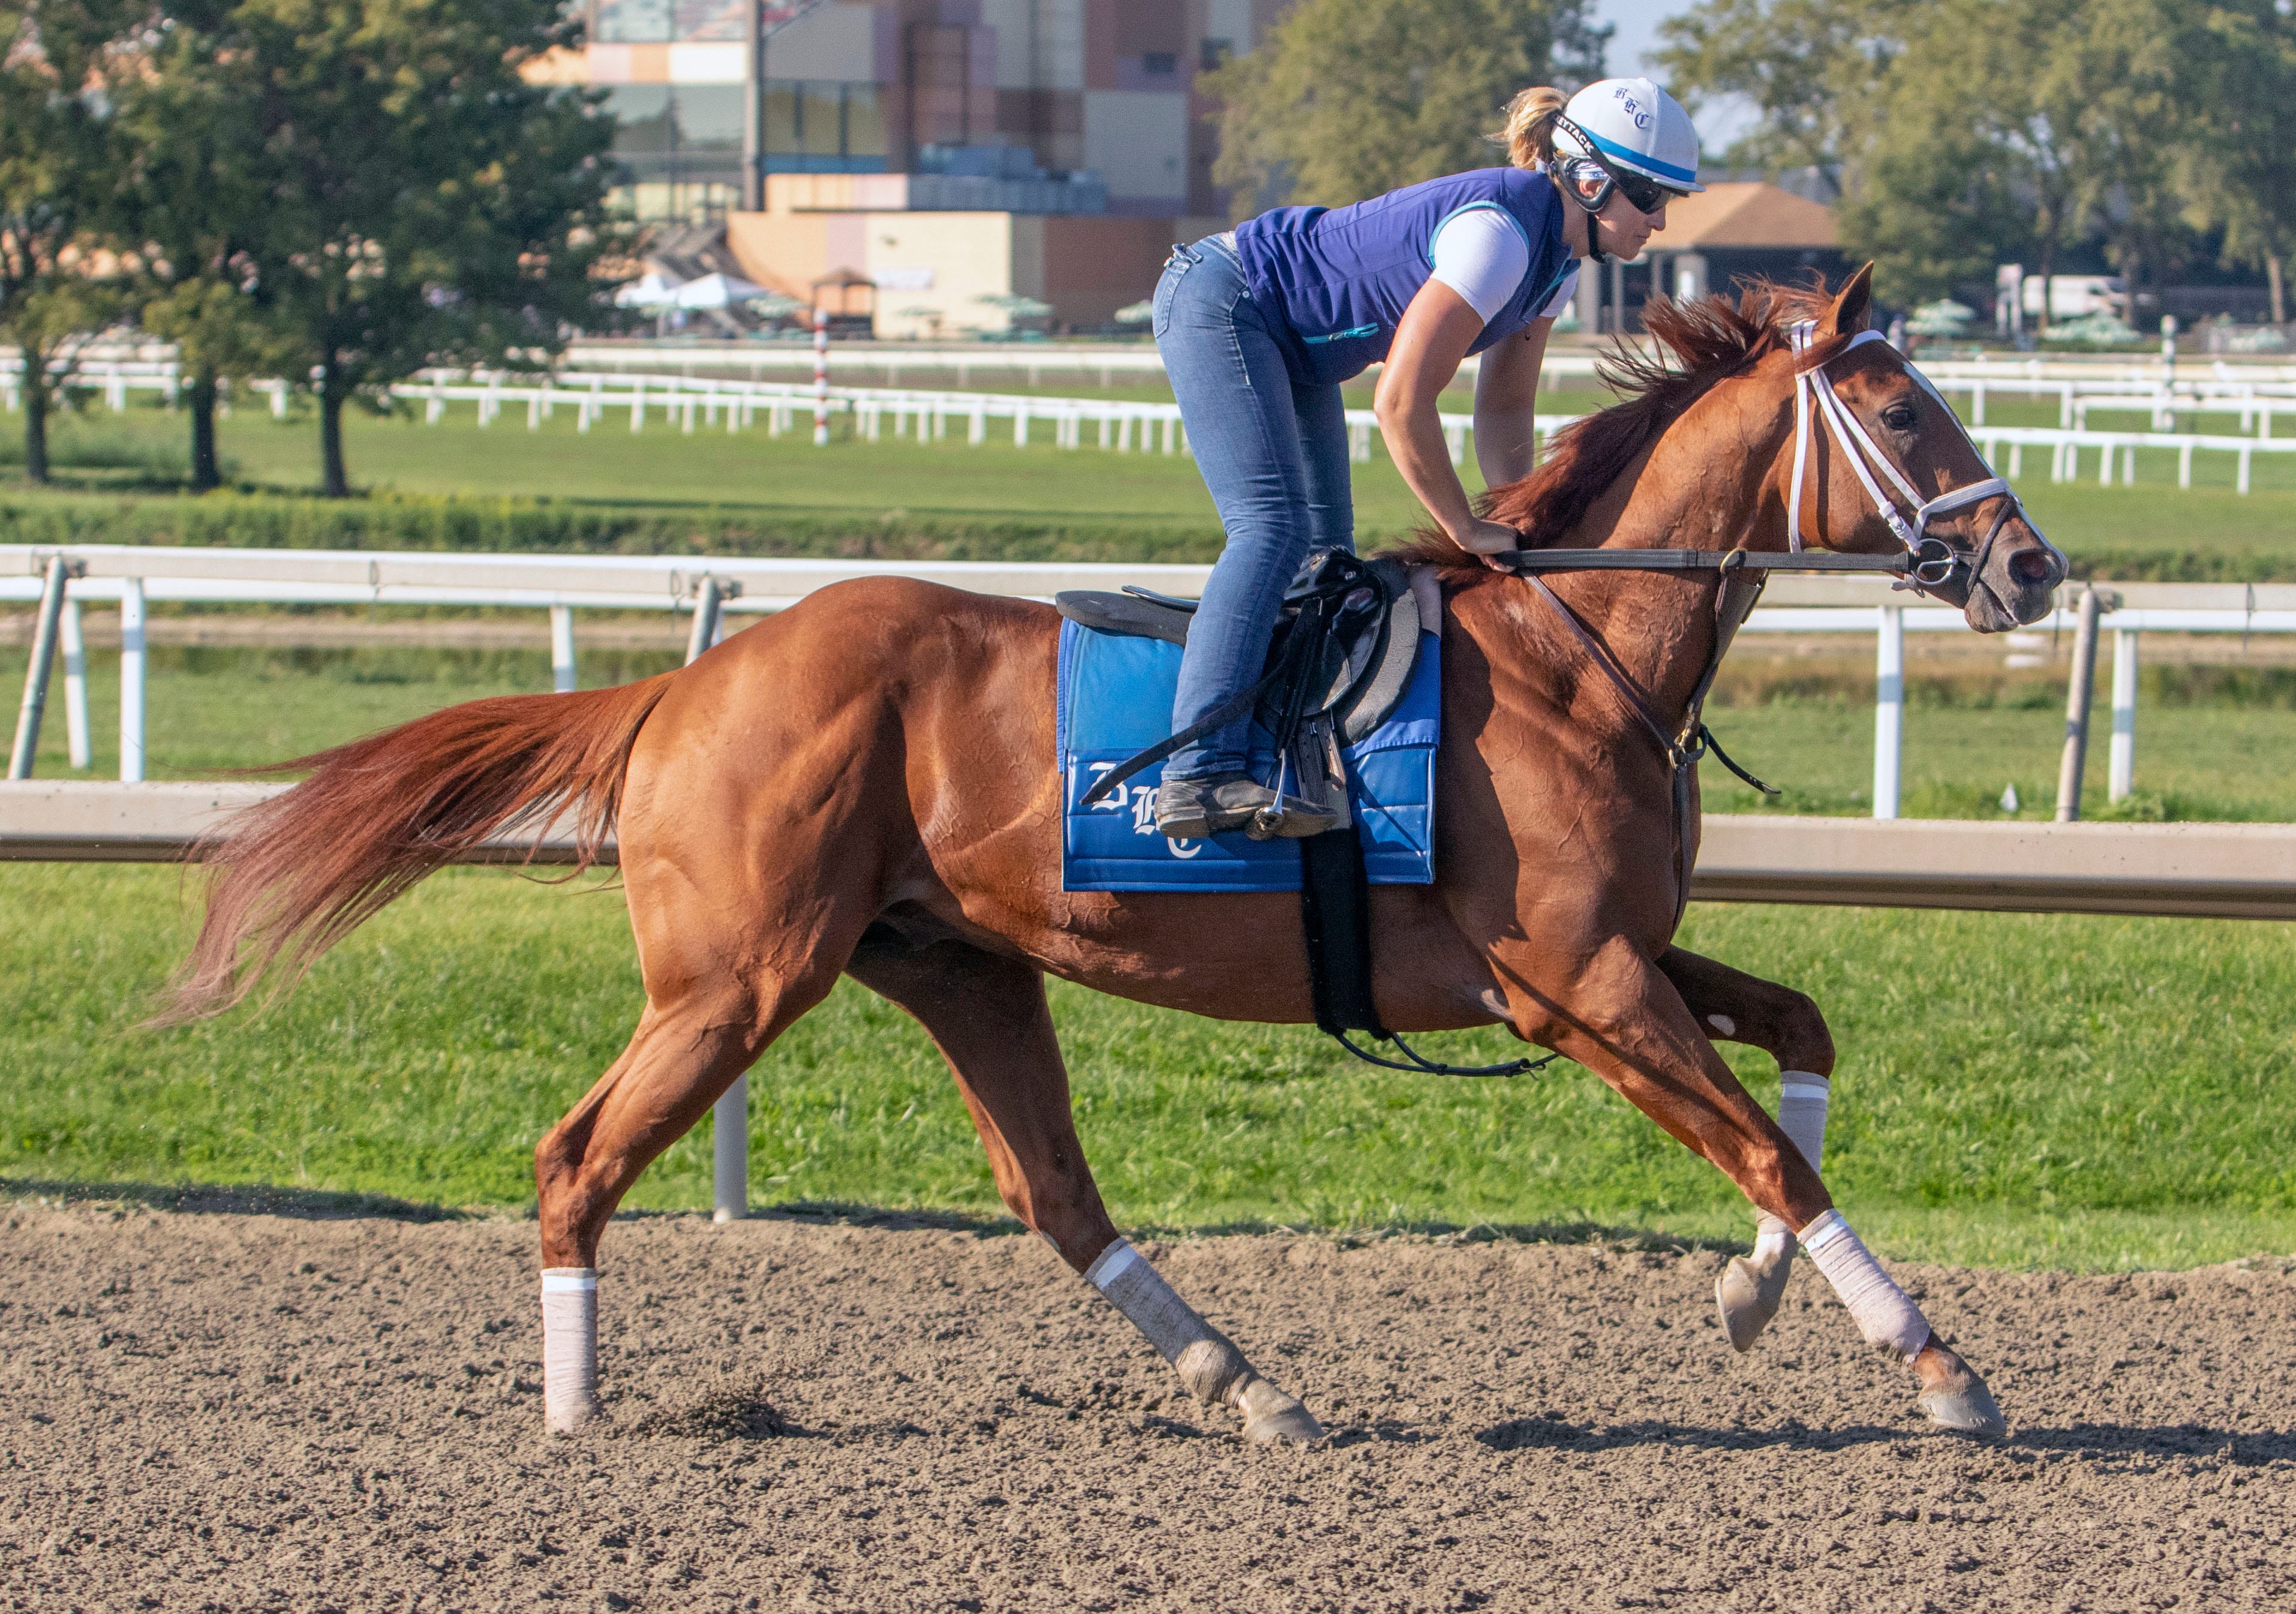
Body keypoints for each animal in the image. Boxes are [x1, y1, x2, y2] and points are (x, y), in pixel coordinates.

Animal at [163, 267, 2065, 1446]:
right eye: (1902, 410)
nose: (2033, 566)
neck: (1568, 652)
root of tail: (687, 679)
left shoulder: (1617, 959)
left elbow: (1798, 1042)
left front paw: (1746, 1299)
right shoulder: (1567, 982)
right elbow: (1768, 1150)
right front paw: (1938, 1369)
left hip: (956, 964)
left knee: (1050, 1191)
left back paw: (1251, 1386)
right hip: (737, 977)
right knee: (578, 1155)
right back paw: (573, 1413)